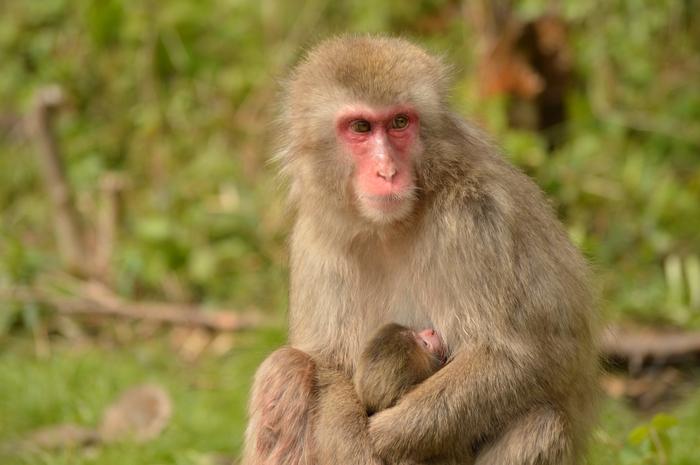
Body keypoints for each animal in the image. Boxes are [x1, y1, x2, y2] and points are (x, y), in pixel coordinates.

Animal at [242, 35, 598, 465]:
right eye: (361, 127)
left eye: (400, 122)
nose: (387, 172)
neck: (390, 228)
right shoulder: (314, 240)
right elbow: (326, 363)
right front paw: (355, 438)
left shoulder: (477, 218)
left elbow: (522, 358)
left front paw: (380, 438)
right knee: (287, 367)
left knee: (541, 422)